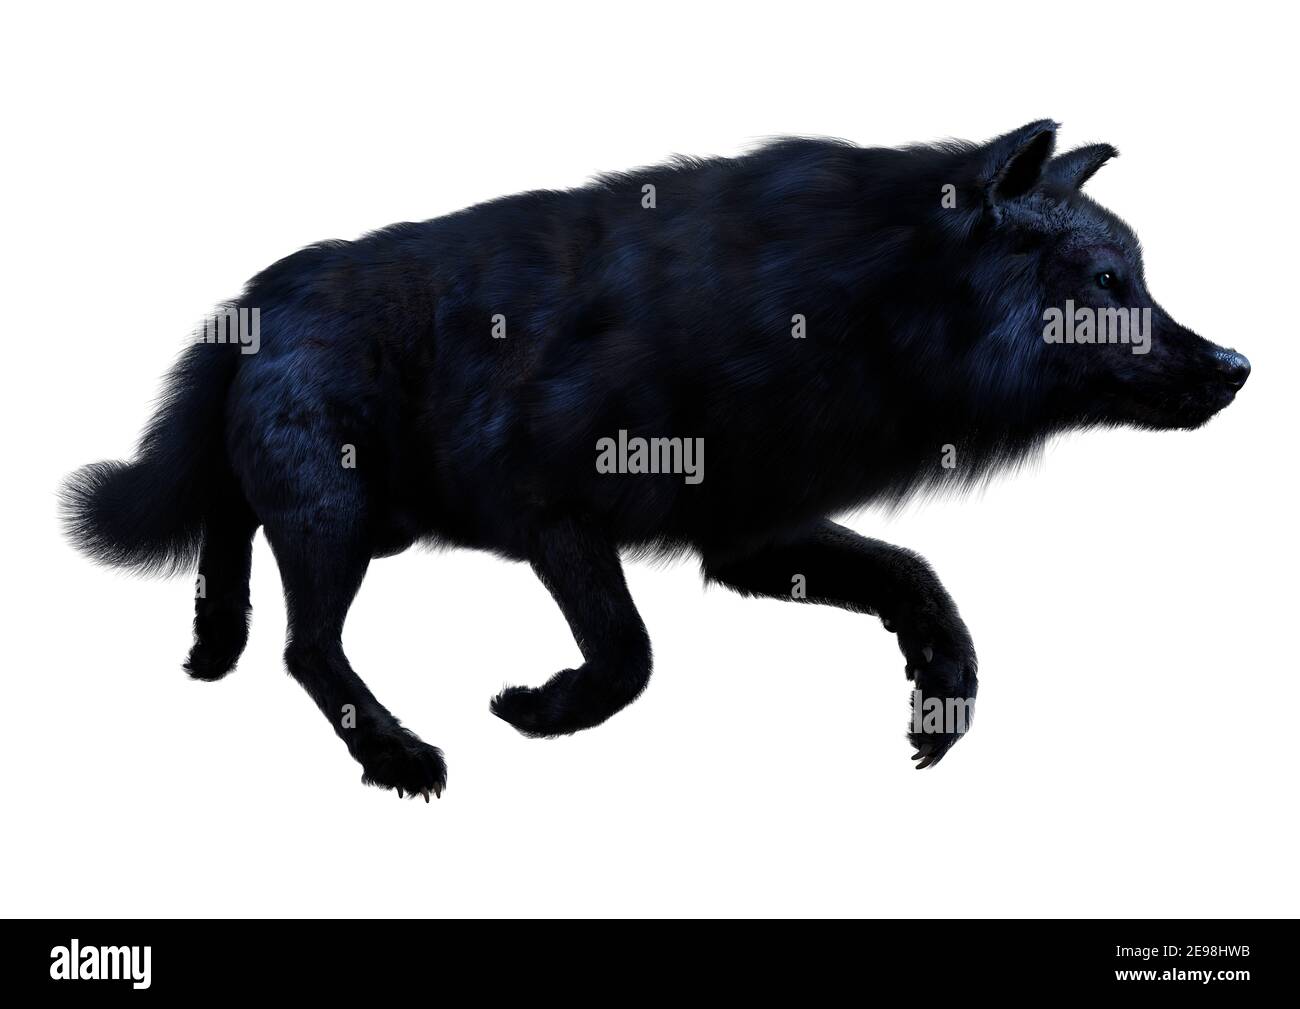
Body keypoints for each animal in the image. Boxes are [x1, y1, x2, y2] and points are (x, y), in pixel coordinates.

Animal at [61, 121, 1250, 798]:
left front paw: (941, 693)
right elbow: (631, 655)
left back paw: (213, 646)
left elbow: (912, 575)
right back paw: (395, 758)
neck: (822, 308)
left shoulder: (751, 535)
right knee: (309, 648)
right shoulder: (553, 513)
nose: (1237, 366)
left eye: (1139, 279)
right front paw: (538, 708)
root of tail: (260, 288)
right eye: (1109, 283)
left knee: (231, 539)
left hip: (345, 518)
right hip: (342, 523)